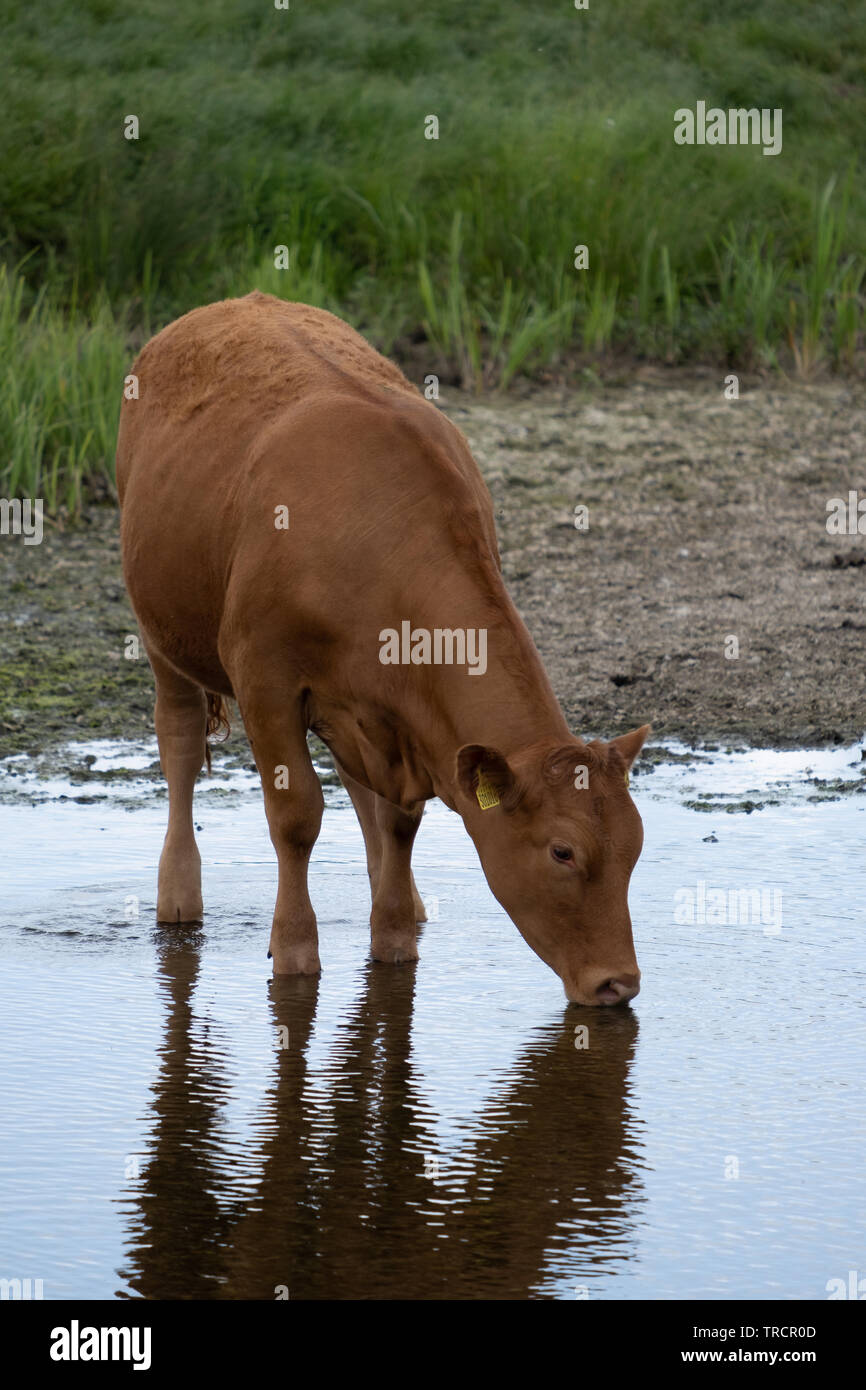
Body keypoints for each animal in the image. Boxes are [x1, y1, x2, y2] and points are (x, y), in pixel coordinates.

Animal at [118, 296, 653, 1011]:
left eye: (635, 848)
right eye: (562, 852)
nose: (618, 982)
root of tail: (231, 303)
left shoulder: (402, 715)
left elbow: (400, 821)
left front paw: (395, 935)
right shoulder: (265, 680)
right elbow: (296, 818)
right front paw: (294, 950)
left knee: (360, 790)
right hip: (161, 633)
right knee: (177, 742)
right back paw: (179, 894)